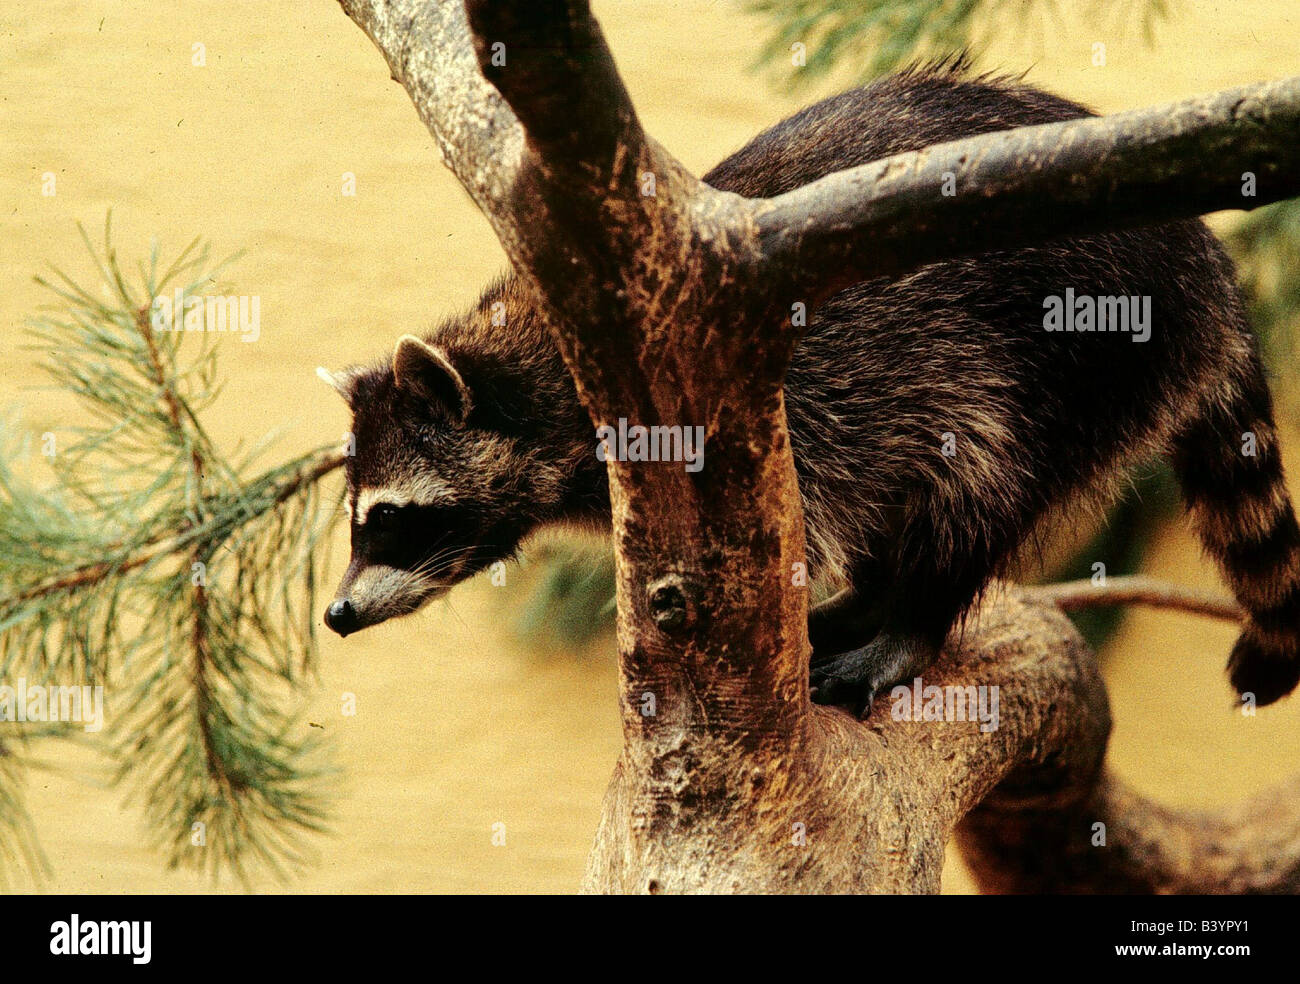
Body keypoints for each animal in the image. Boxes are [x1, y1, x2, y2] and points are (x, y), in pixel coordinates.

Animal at [320, 59, 1300, 712]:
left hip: (1066, 345)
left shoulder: (778, 401)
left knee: (982, 482)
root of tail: (1204, 268)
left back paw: (910, 621)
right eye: (362, 518)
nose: (336, 613)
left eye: (392, 519)